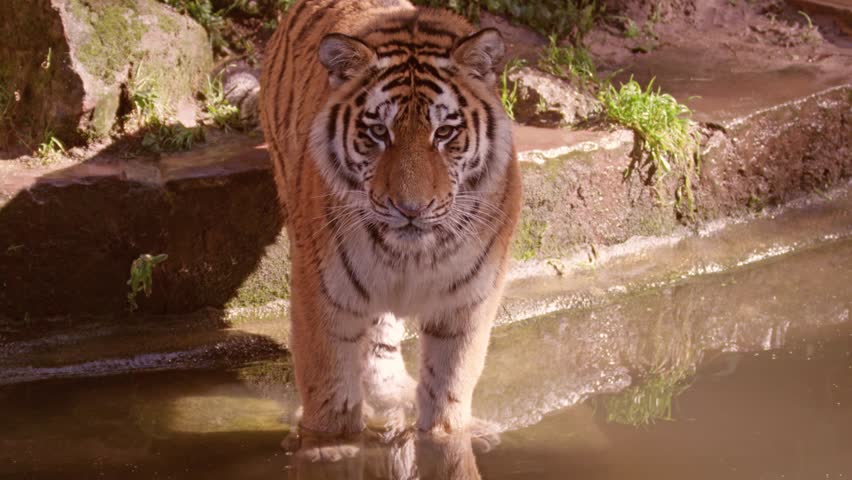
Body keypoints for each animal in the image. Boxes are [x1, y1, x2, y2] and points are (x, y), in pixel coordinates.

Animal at [260, 0, 521, 443]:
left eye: (445, 132)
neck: (411, 256)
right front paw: (328, 444)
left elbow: (450, 387)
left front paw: (448, 434)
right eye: (378, 132)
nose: (410, 208)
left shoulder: (468, 303)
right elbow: (329, 391)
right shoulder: (323, 297)